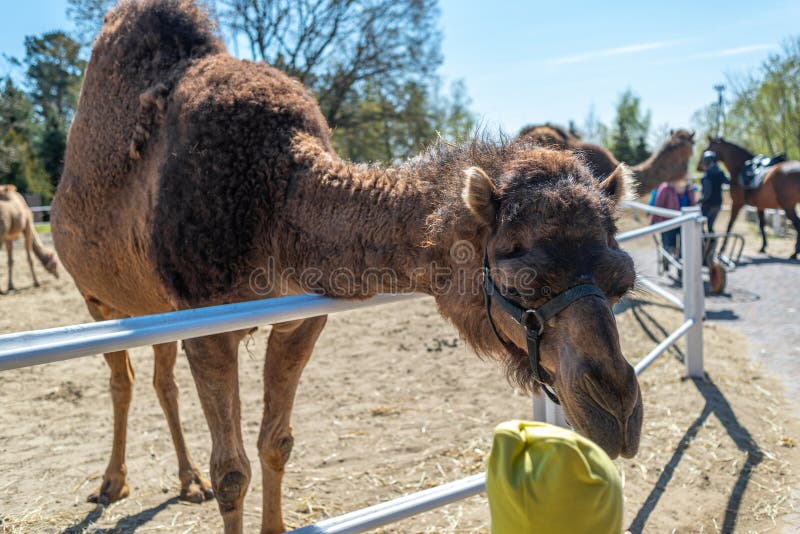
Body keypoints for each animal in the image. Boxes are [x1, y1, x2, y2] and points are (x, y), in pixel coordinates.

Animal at [53, 2, 643, 532]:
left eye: (623, 282)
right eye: (521, 282)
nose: (617, 409)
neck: (276, 195)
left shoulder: (303, 319)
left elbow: (276, 444)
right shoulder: (207, 326)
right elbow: (233, 473)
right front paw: (212, 478)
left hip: (153, 307)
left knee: (160, 377)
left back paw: (185, 480)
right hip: (97, 298)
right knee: (123, 378)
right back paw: (112, 483)